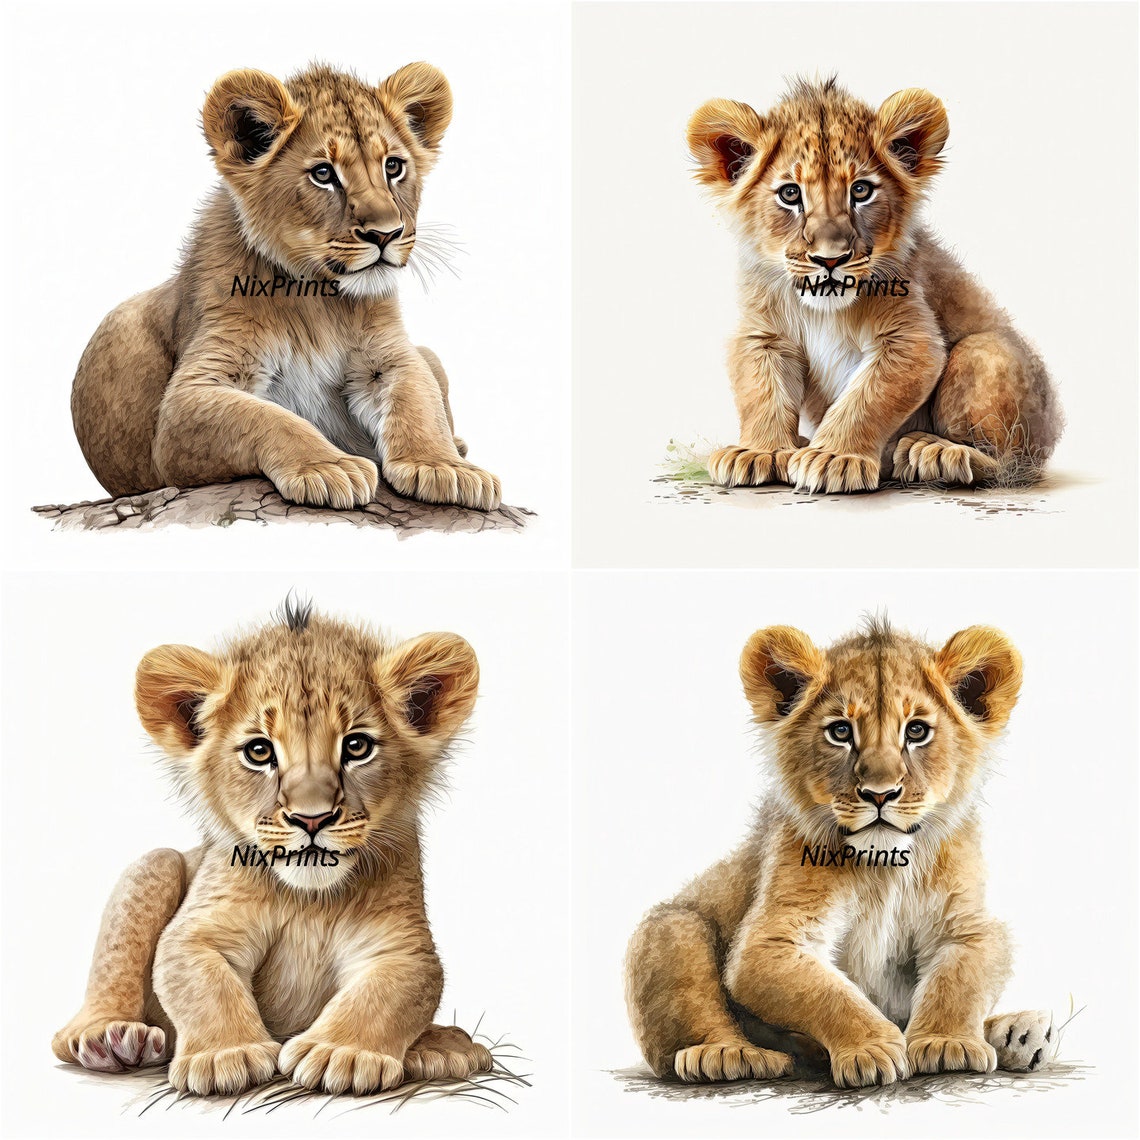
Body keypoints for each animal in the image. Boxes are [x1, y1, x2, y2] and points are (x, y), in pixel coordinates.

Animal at [51, 599, 494, 1096]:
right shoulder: (200, 929)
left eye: (357, 746)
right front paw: (227, 1055)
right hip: (156, 865)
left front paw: (340, 1053)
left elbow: (388, 992)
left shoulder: (402, 946)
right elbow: (202, 981)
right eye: (259, 752)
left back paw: (444, 1047)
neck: (309, 902)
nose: (312, 818)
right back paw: (110, 1040)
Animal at [71, 62, 501, 512]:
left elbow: (418, 401)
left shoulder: (392, 356)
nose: (386, 234)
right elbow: (269, 418)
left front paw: (443, 466)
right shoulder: (186, 401)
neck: (318, 298)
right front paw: (329, 468)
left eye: (393, 167)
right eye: (323, 174)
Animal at [625, 617, 1057, 1088]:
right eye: (840, 731)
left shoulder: (969, 926)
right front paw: (870, 1049)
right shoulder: (772, 939)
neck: (885, 867)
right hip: (671, 929)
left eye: (916, 731)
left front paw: (947, 1043)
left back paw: (1020, 1033)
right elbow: (828, 994)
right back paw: (734, 1054)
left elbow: (958, 983)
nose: (880, 794)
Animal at [687, 78, 1062, 493]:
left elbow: (866, 399)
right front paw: (760, 452)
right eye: (790, 194)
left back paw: (935, 452)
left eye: (861, 191)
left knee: (1010, 467)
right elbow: (762, 393)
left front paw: (832, 458)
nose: (830, 259)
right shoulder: (763, 335)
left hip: (984, 353)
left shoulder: (910, 339)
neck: (823, 312)